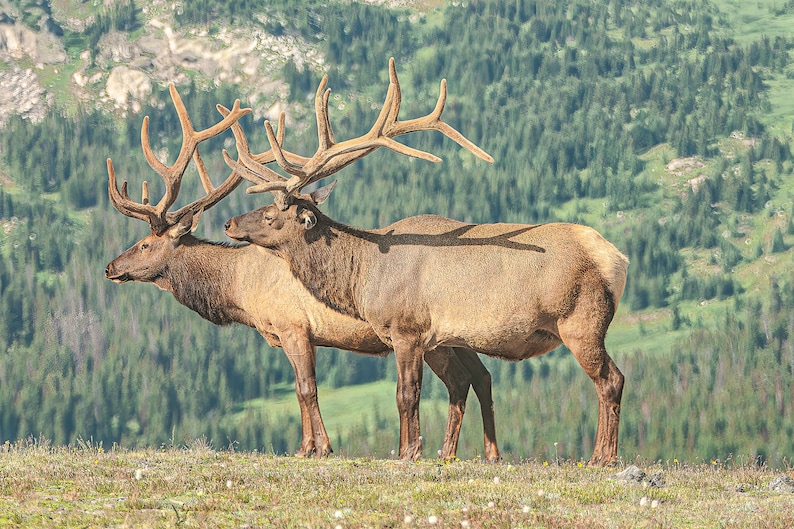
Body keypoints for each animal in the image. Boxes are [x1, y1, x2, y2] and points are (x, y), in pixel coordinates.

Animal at [104, 83, 501, 461]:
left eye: (144, 244)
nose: (110, 267)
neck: (240, 290)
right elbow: (299, 391)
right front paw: (307, 445)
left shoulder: (293, 326)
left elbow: (306, 389)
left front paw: (318, 447)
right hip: (459, 335)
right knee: (481, 375)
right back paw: (473, 453)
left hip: (431, 338)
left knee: (459, 380)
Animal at [223, 58, 629, 465]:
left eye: (270, 216)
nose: (229, 223)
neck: (363, 277)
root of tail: (617, 258)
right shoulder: (431, 339)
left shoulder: (408, 329)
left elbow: (406, 395)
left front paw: (409, 451)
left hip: (581, 320)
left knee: (612, 379)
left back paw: (602, 457)